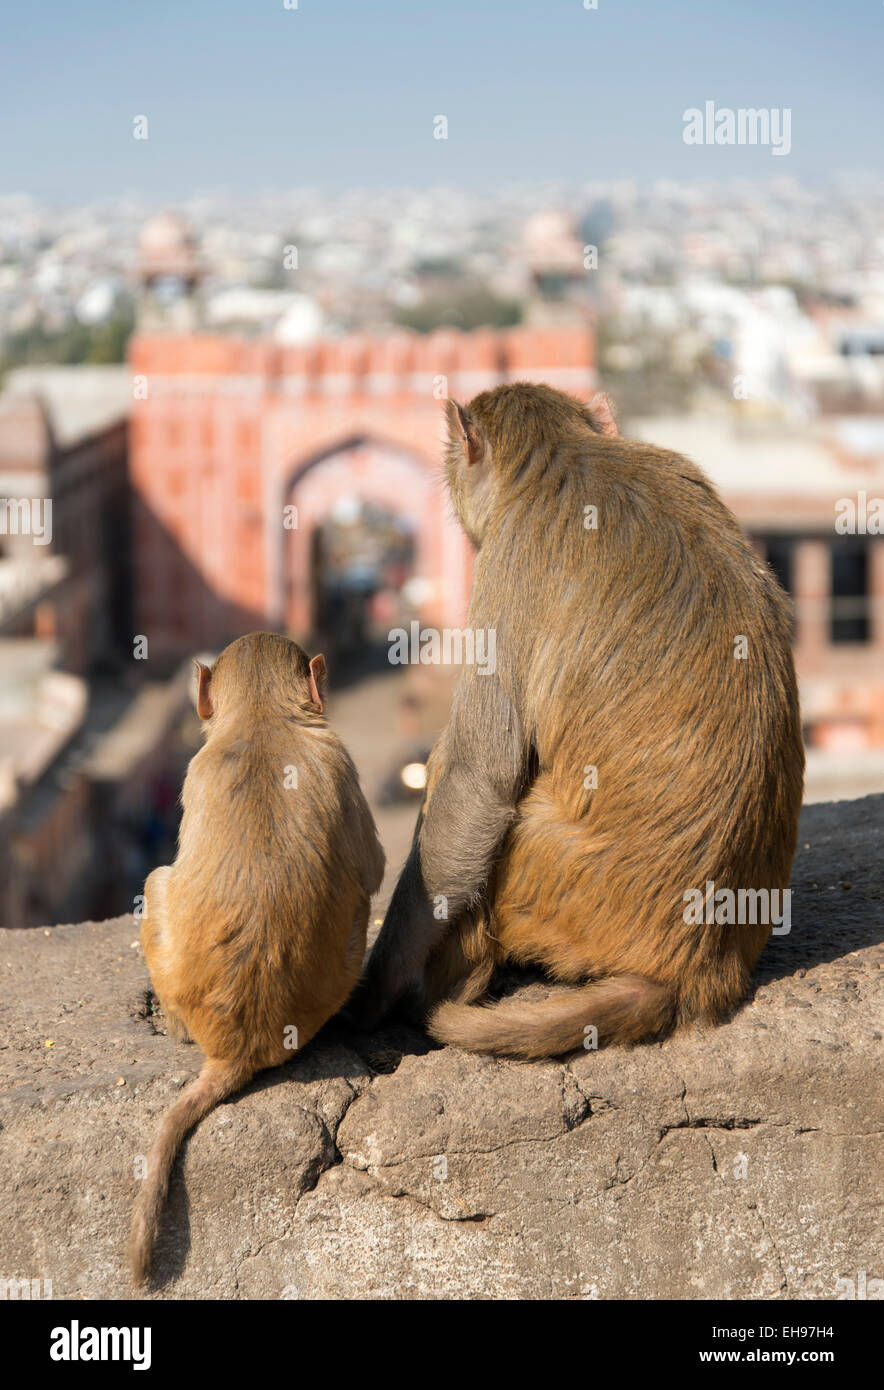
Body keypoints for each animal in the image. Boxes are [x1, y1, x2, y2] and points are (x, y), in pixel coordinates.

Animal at [352, 383, 803, 1058]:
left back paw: (446, 992)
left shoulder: (508, 561)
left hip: (544, 880)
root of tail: (694, 968)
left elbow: (478, 778)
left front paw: (377, 988)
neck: (561, 453)